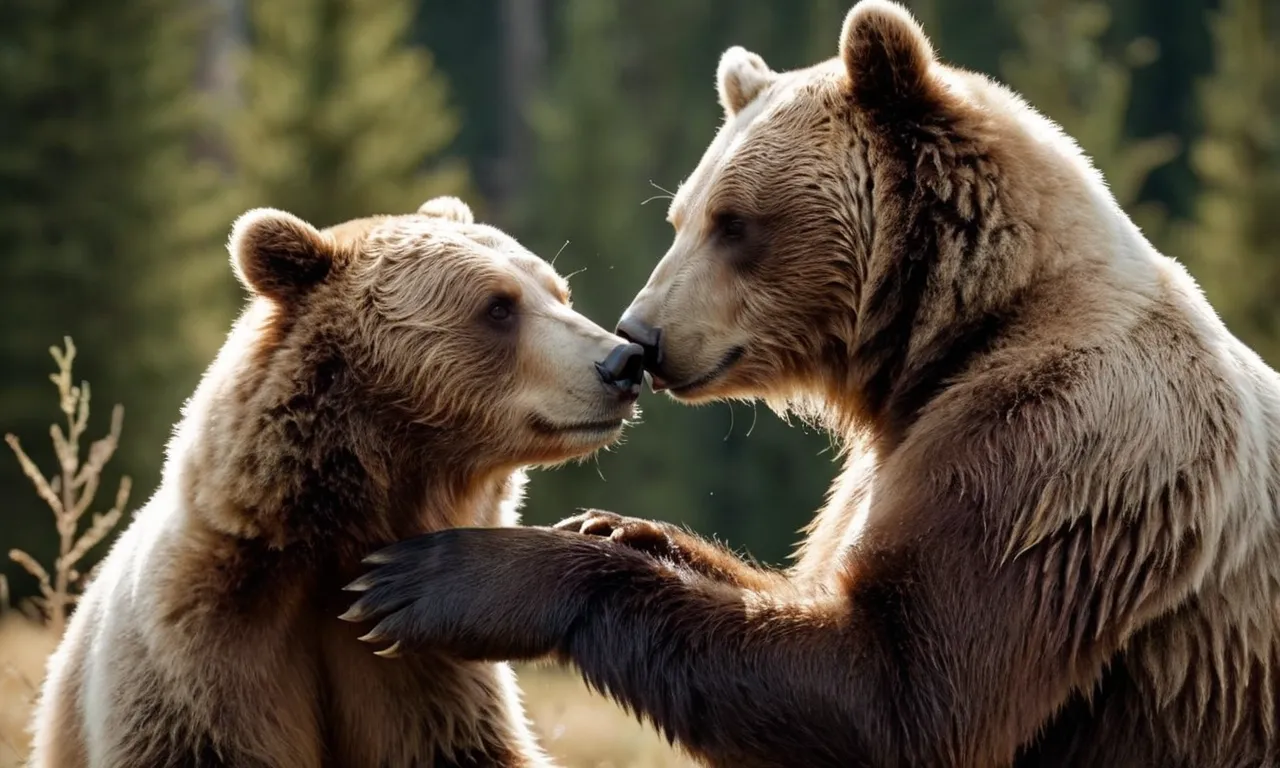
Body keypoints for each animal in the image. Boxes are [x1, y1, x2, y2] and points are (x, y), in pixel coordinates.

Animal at [342, 2, 1280, 767]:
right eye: (680, 215)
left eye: (735, 223)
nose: (640, 339)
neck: (953, 338)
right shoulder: (894, 459)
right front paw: (620, 528)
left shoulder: (1062, 453)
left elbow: (898, 692)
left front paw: (451, 578)